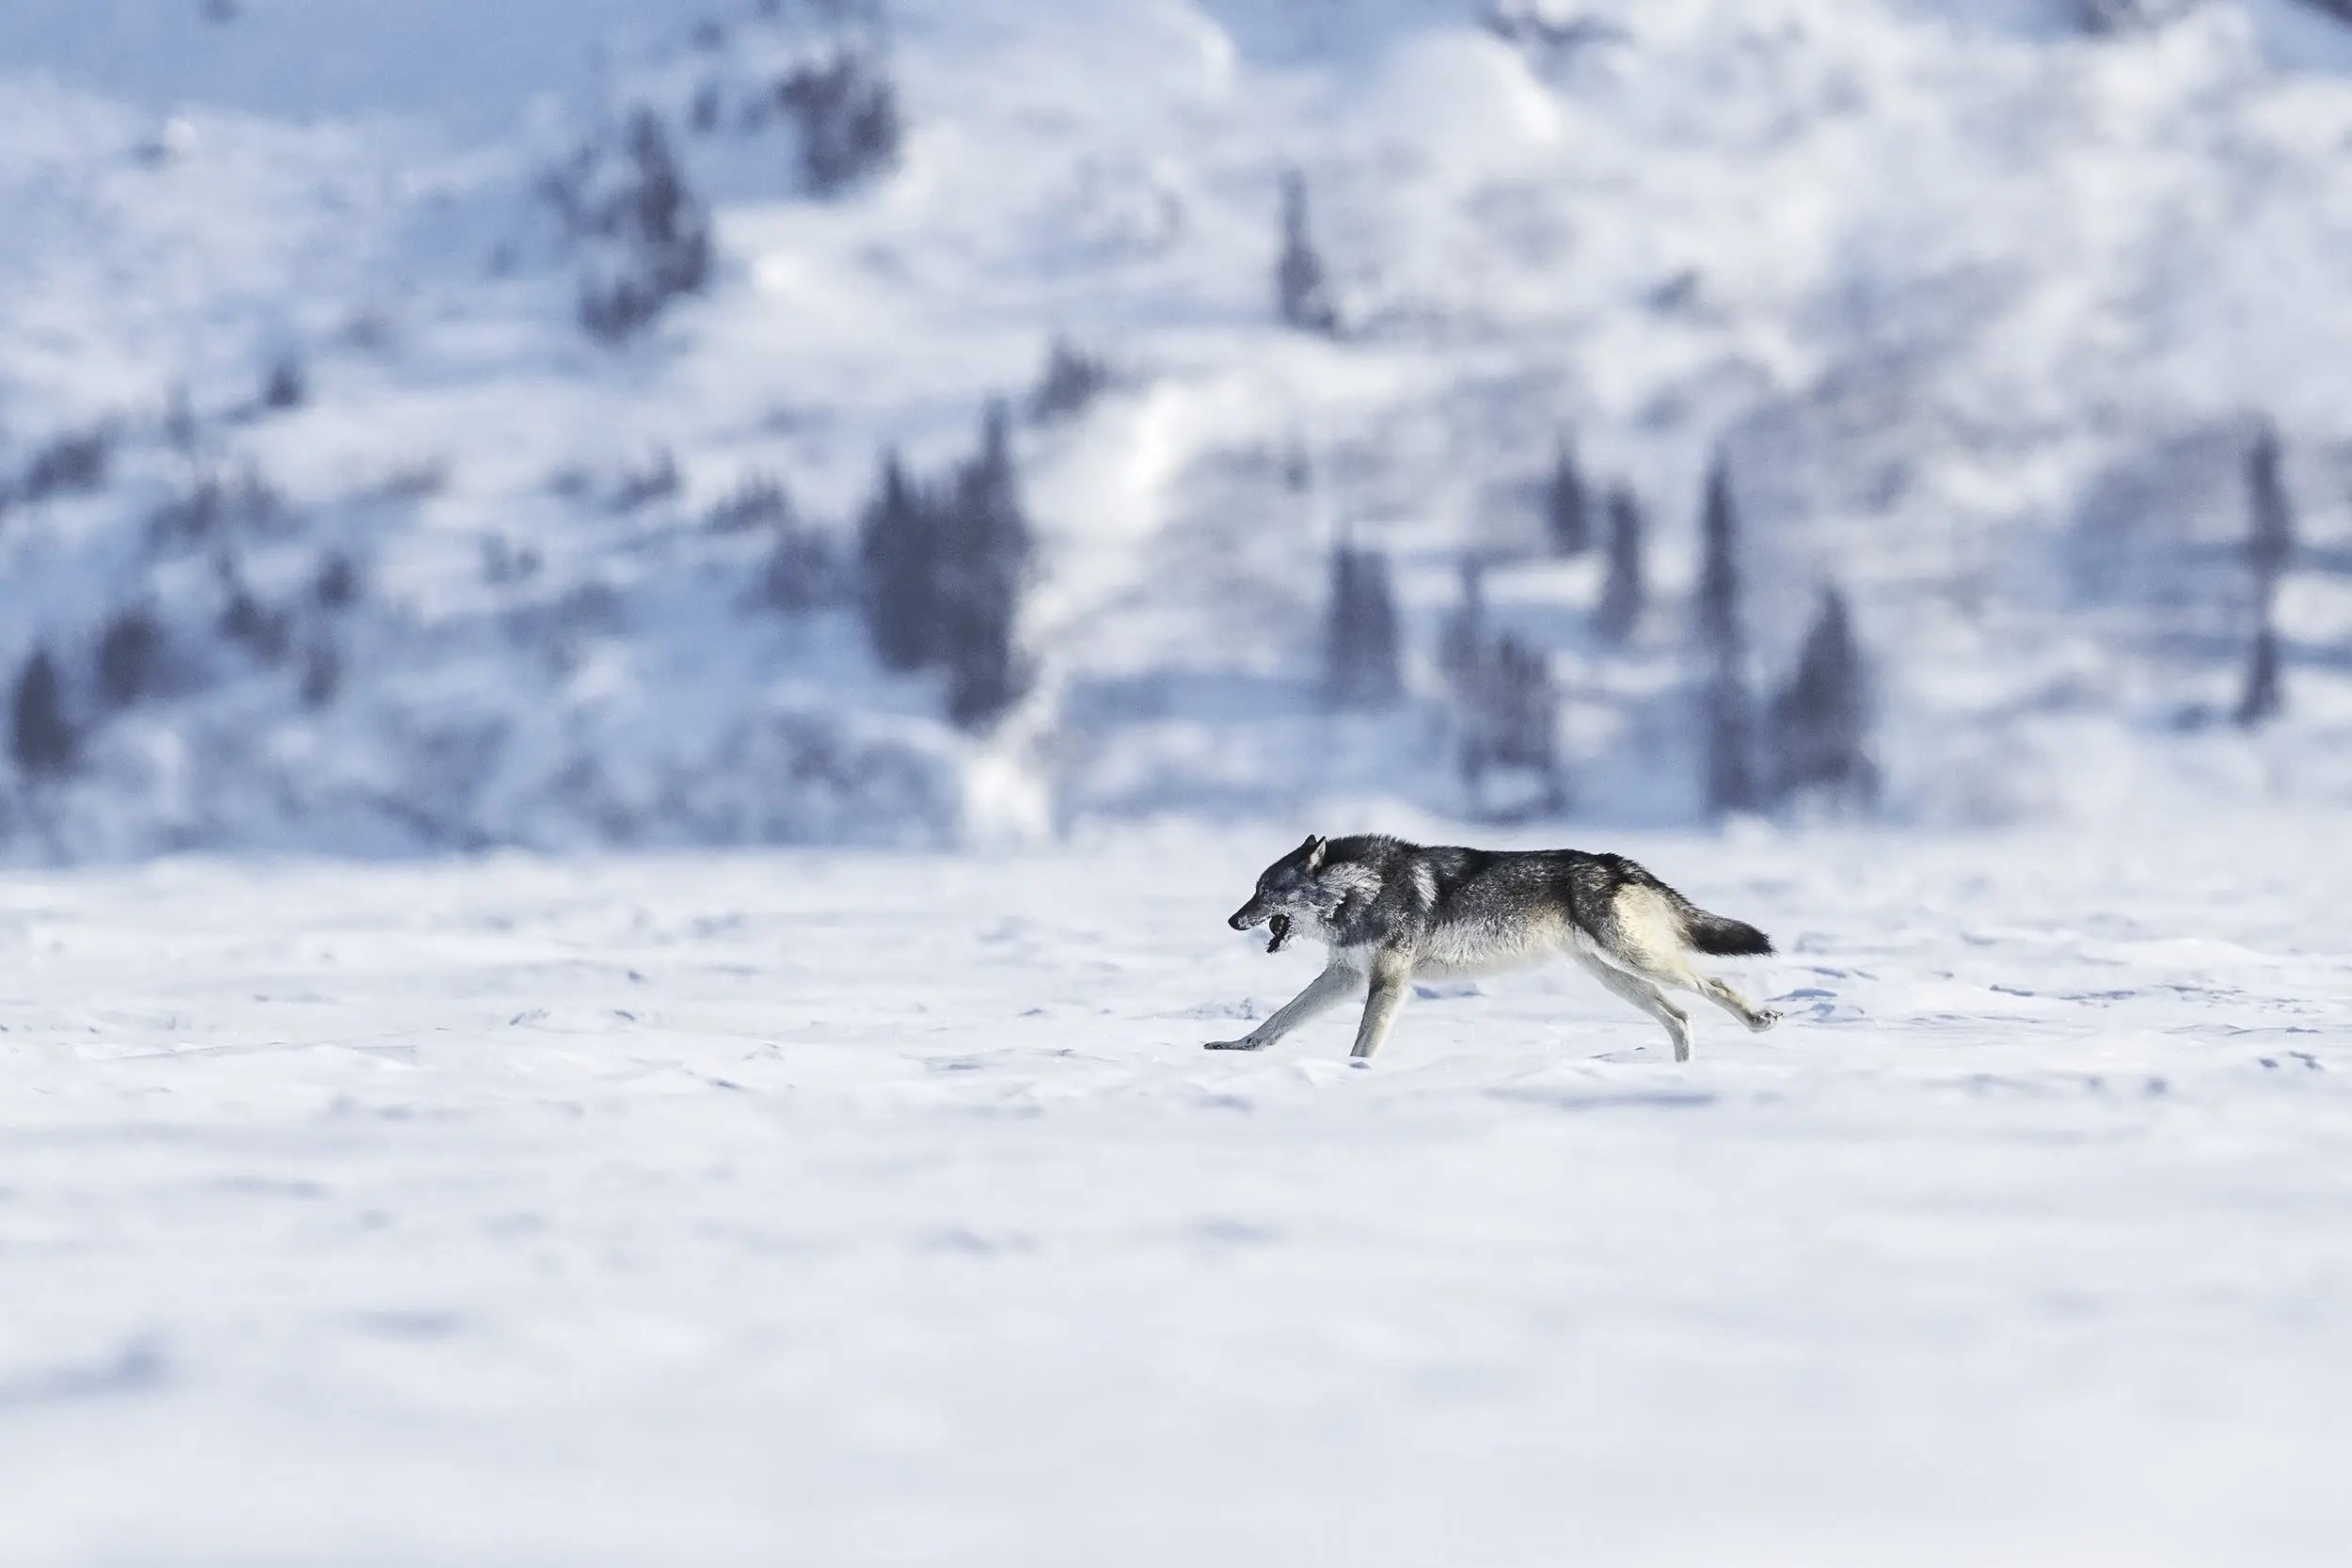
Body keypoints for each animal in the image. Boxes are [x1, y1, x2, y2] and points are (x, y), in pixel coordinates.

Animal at [1208, 833, 1780, 1064]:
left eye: (1265, 891)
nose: (1233, 920)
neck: (1362, 890)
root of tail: (1620, 863)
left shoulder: (1388, 981)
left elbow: (1363, 1042)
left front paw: (1356, 1077)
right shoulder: (1346, 975)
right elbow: (1278, 1020)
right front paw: (1233, 1049)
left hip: (1638, 961)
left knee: (1713, 983)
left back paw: (1759, 1022)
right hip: (1614, 976)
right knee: (1680, 1017)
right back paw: (1678, 1077)